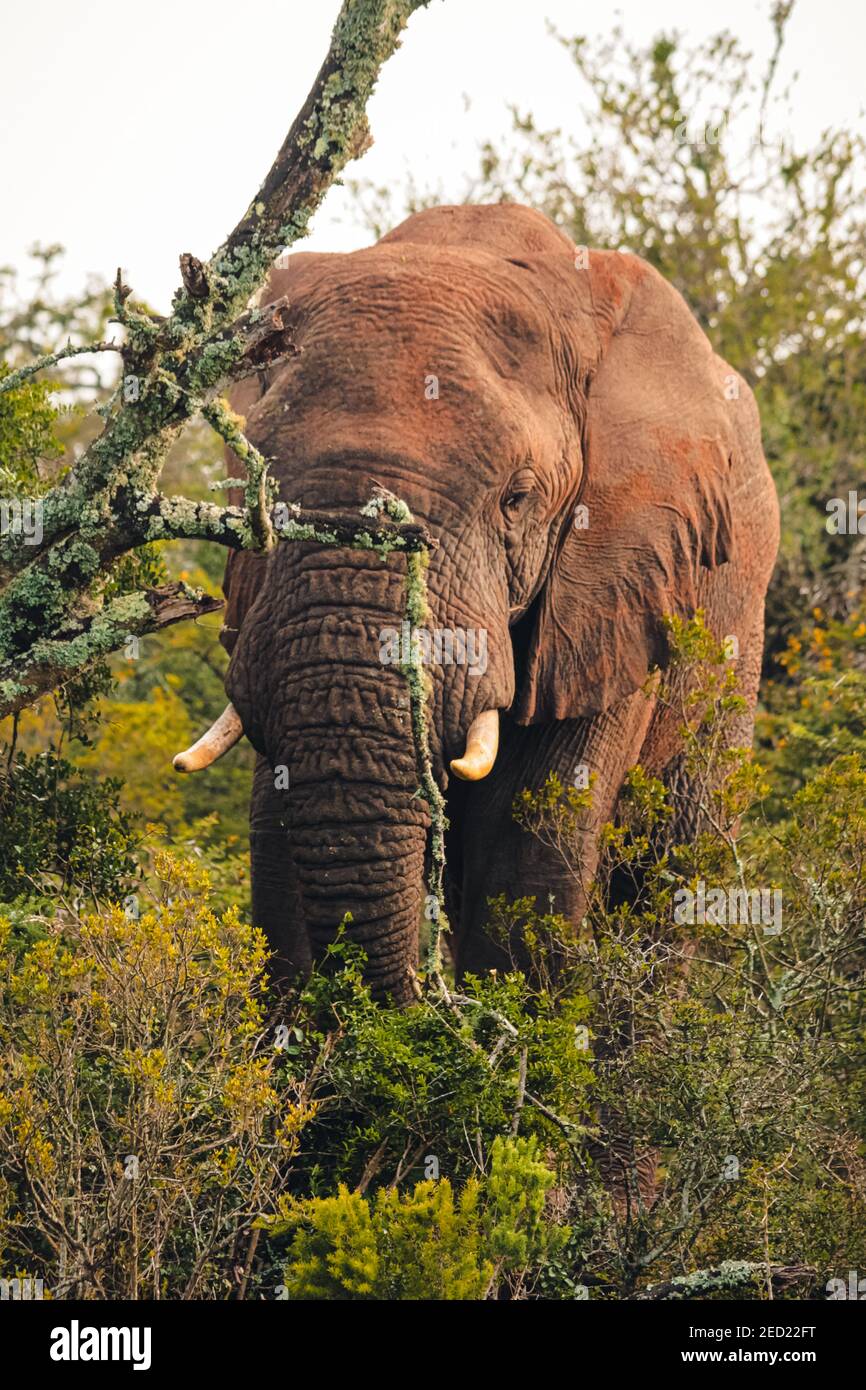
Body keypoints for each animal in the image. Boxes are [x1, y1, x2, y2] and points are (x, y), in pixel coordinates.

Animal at [174, 203, 780, 1006]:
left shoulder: (621, 579)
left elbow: (530, 835)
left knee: (672, 865)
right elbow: (279, 818)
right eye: (255, 484)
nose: (428, 1001)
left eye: (516, 500)